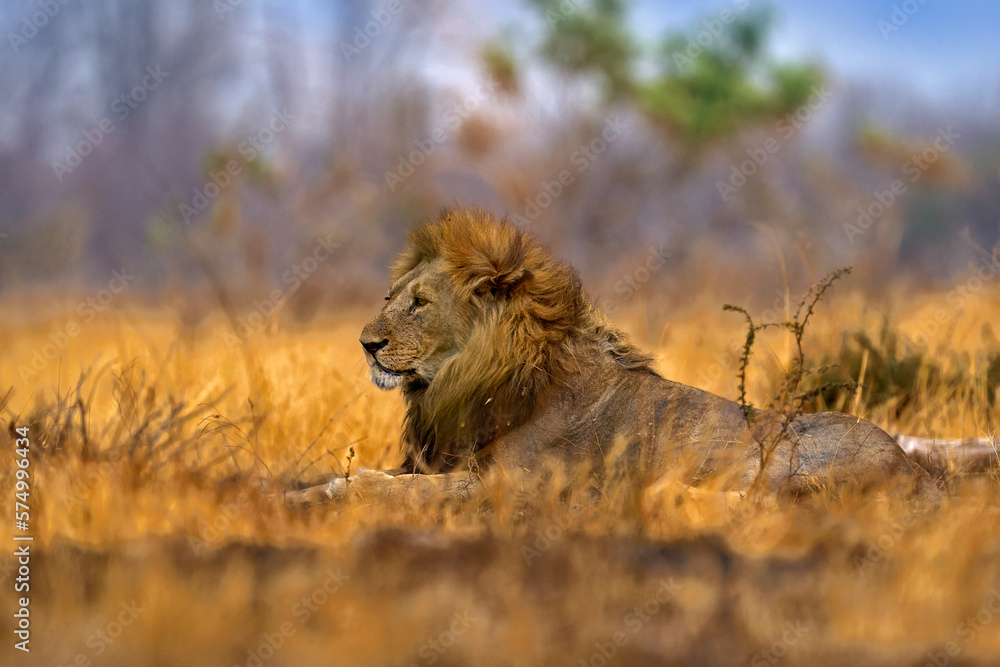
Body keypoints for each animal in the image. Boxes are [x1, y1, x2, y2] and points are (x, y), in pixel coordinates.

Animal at [287, 208, 950, 508]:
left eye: (420, 304)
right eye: (389, 298)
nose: (366, 343)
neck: (462, 381)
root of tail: (915, 468)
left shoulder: (511, 485)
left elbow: (394, 490)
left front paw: (345, 489)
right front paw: (300, 492)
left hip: (788, 454)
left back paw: (665, 495)